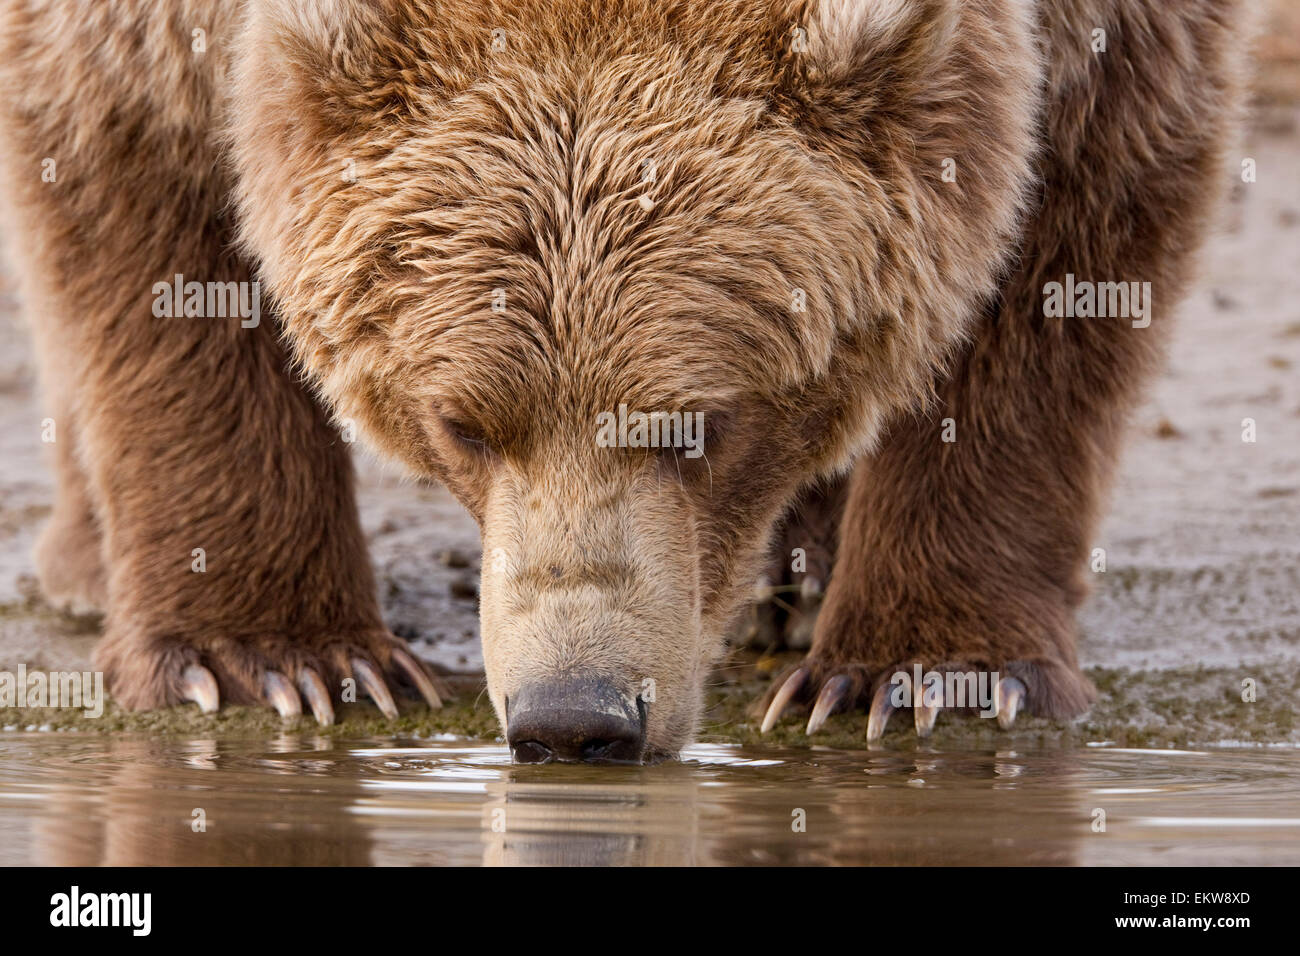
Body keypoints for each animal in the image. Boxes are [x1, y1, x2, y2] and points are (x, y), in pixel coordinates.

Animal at [0, 0, 1248, 761]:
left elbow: (1076, 215)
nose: (573, 715)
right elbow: (131, 179)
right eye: (461, 423)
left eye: (704, 423)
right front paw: (273, 659)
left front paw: (928, 670)